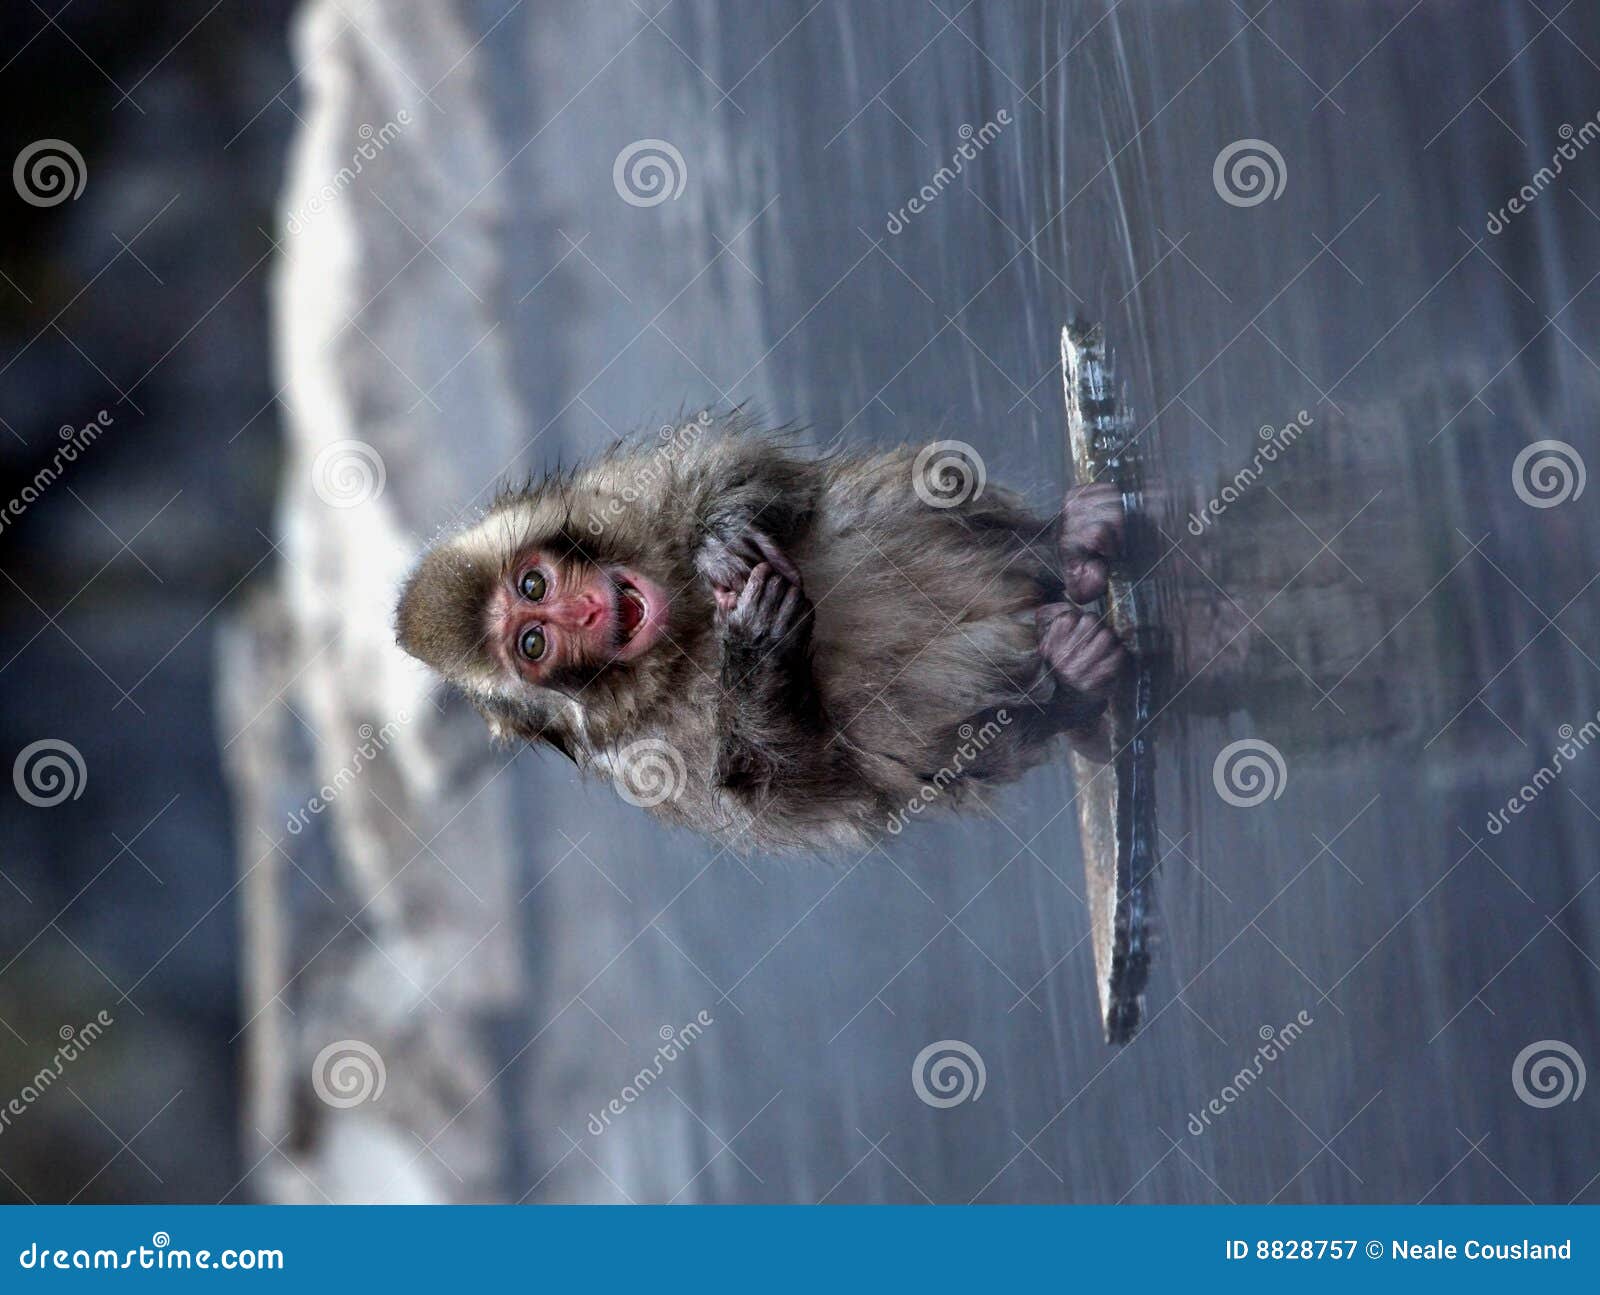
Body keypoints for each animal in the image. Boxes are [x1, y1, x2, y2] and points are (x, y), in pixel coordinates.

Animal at [394, 413, 1126, 853]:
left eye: (533, 587)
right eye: (533, 645)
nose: (584, 615)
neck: (687, 627)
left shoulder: (621, 493)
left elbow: (732, 468)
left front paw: (719, 544)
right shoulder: (645, 759)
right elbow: (805, 781)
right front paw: (761, 654)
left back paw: (1061, 550)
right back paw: (1074, 672)